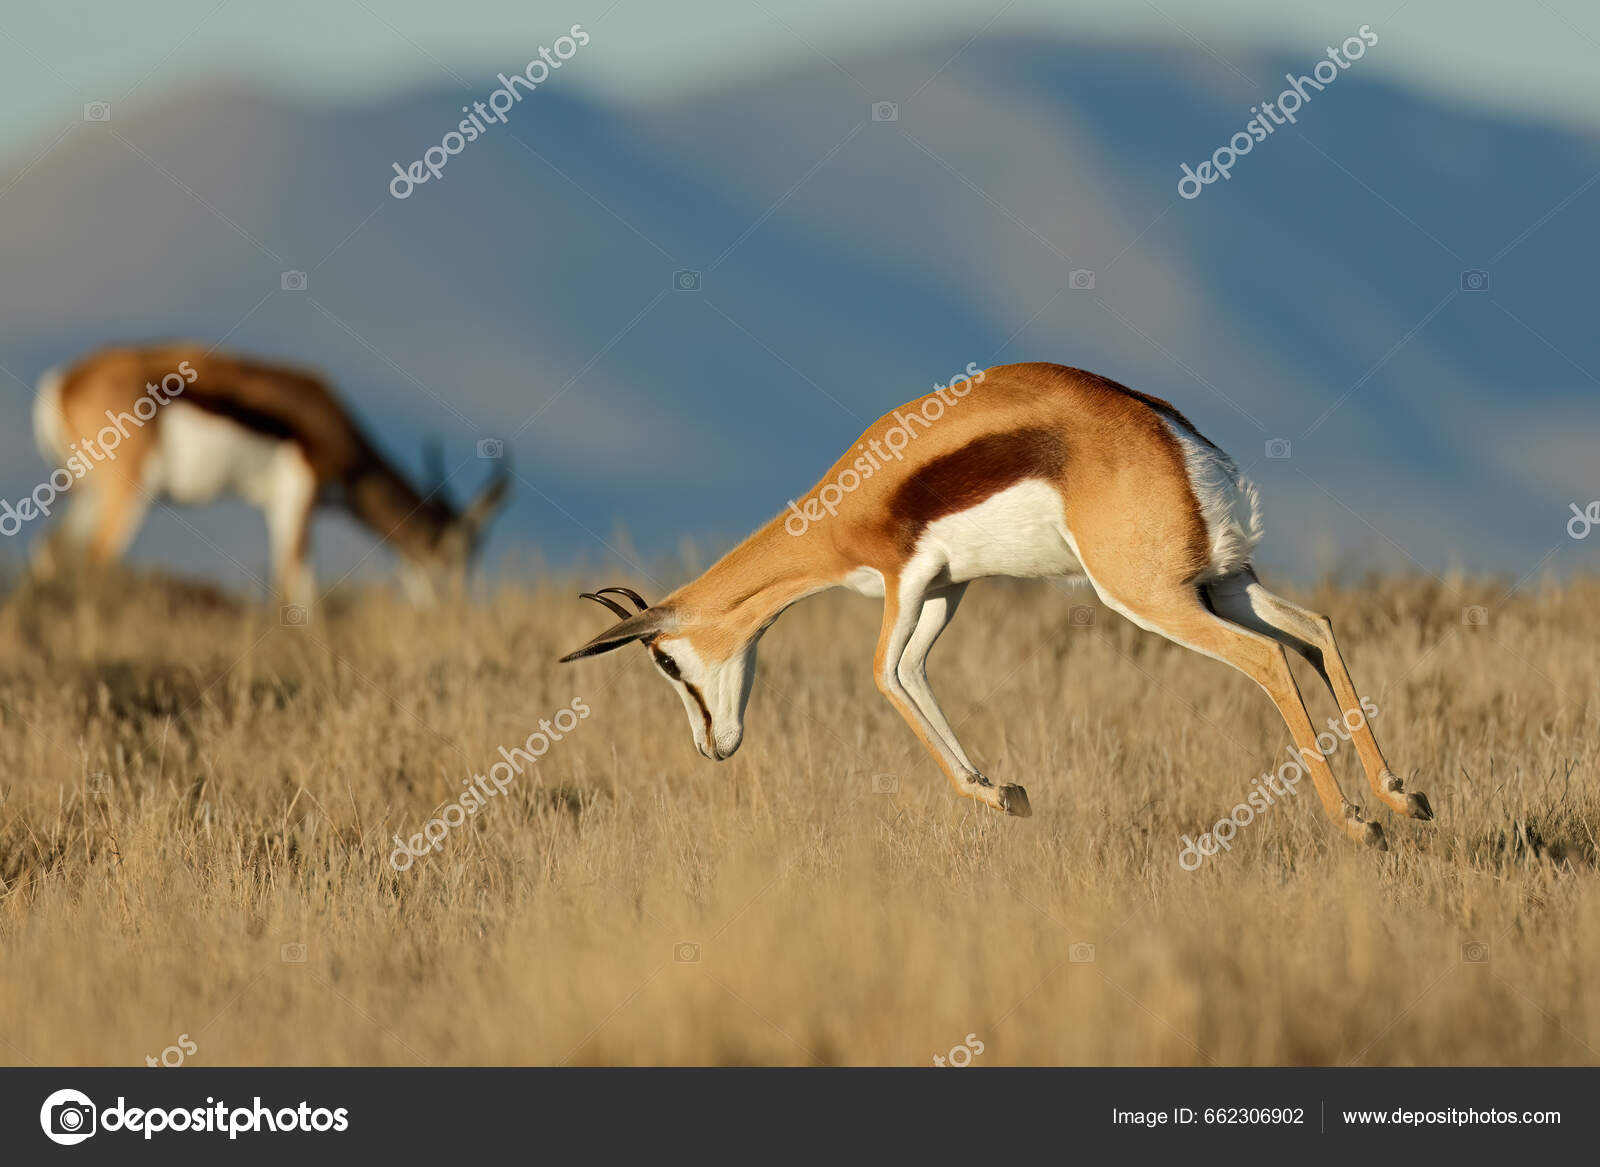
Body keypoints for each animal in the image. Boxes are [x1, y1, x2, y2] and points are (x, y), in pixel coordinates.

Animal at [30, 344, 510, 606]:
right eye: (457, 553)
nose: (458, 607)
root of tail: (64, 383)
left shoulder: (275, 505)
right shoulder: (301, 494)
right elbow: (299, 581)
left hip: (86, 493)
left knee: (52, 550)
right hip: (126, 495)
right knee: (96, 559)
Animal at [561, 361, 1432, 849]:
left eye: (665, 660)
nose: (713, 746)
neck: (853, 499)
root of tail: (1175, 437)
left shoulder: (905, 579)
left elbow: (884, 677)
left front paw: (997, 794)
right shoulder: (949, 588)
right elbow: (915, 674)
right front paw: (1004, 789)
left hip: (1150, 597)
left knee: (1269, 657)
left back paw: (1358, 824)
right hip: (1223, 581)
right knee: (1315, 630)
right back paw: (1405, 796)